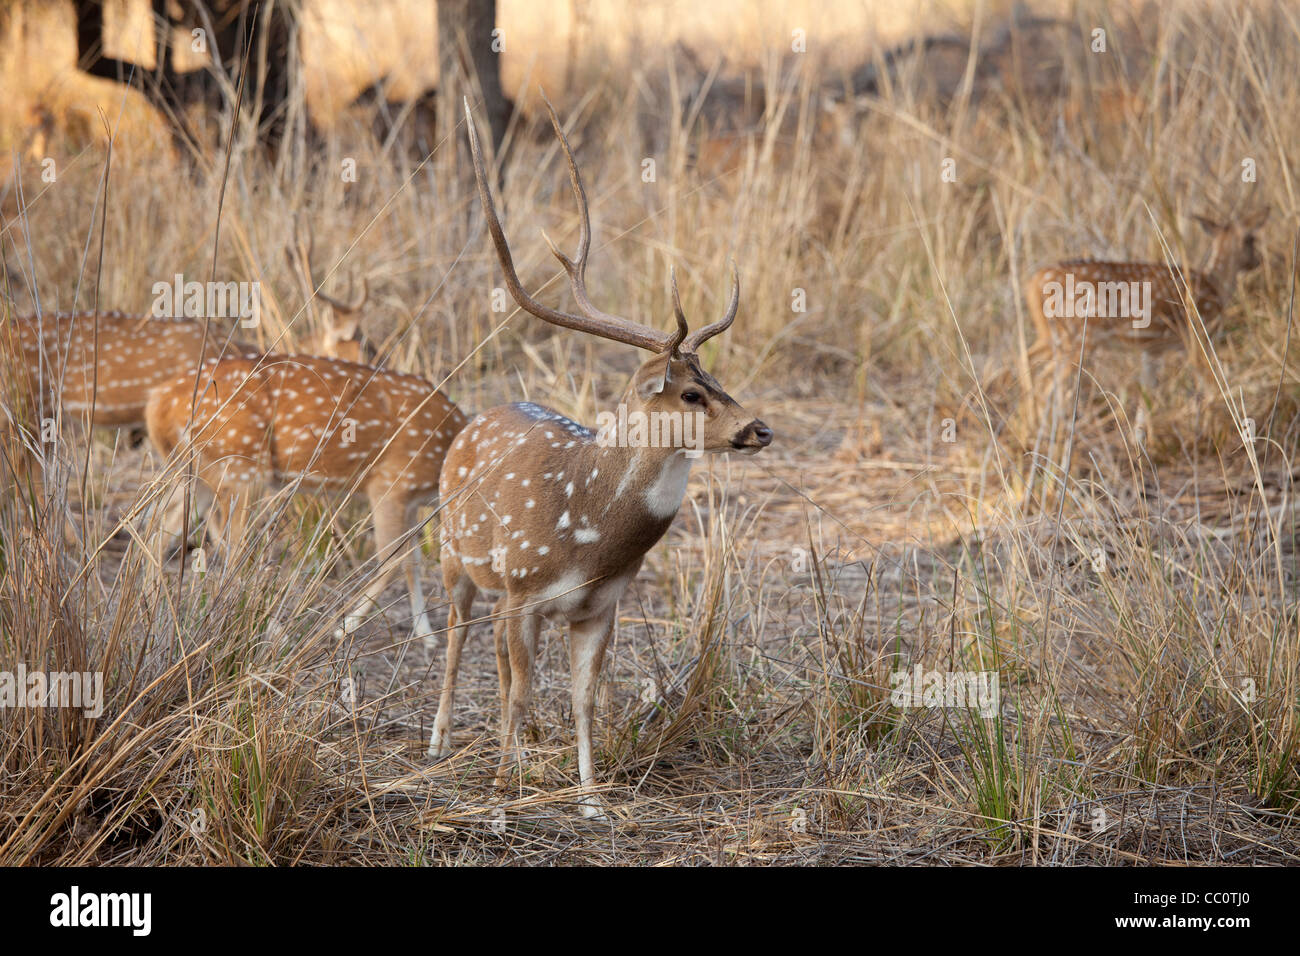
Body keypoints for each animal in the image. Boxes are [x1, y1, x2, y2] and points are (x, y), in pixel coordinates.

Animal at [143, 352, 468, 642]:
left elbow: (412, 560)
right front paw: (342, 627)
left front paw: (426, 633)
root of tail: (157, 402)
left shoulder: (411, 503)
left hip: (195, 471)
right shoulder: (392, 483)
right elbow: (393, 561)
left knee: (159, 532)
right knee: (234, 549)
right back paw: (276, 633)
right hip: (240, 466)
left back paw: (155, 614)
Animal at [429, 97, 773, 817]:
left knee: (495, 657)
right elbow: (524, 690)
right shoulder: (526, 588)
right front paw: (499, 796)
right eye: (691, 392)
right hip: (454, 552)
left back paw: (522, 749)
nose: (758, 429)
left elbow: (584, 698)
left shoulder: (602, 605)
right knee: (456, 634)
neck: (586, 532)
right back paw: (441, 742)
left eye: (718, 377)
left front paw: (589, 796)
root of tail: (478, 416)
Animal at [1022, 208, 1269, 444]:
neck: (1216, 285)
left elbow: (1147, 391)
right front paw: (1223, 428)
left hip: (1052, 335)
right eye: (1251, 238)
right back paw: (1053, 430)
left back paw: (1036, 427)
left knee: (1026, 360)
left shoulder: (1152, 349)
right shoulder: (1195, 336)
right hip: (1077, 337)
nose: (1258, 259)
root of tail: (1034, 281)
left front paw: (1139, 439)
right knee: (1047, 380)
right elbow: (1210, 383)